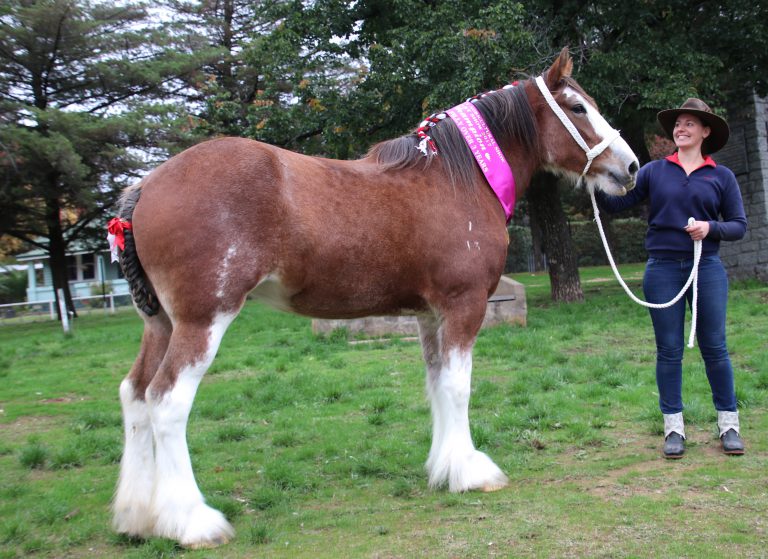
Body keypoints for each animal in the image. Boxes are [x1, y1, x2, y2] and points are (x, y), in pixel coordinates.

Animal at [111, 48, 638, 548]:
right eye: (577, 107)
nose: (629, 167)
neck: (458, 178)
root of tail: (145, 187)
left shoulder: (430, 316)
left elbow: (437, 384)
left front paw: (443, 468)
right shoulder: (463, 306)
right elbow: (459, 387)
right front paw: (471, 472)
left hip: (160, 324)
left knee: (135, 394)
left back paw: (136, 517)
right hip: (202, 321)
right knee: (166, 401)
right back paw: (193, 522)